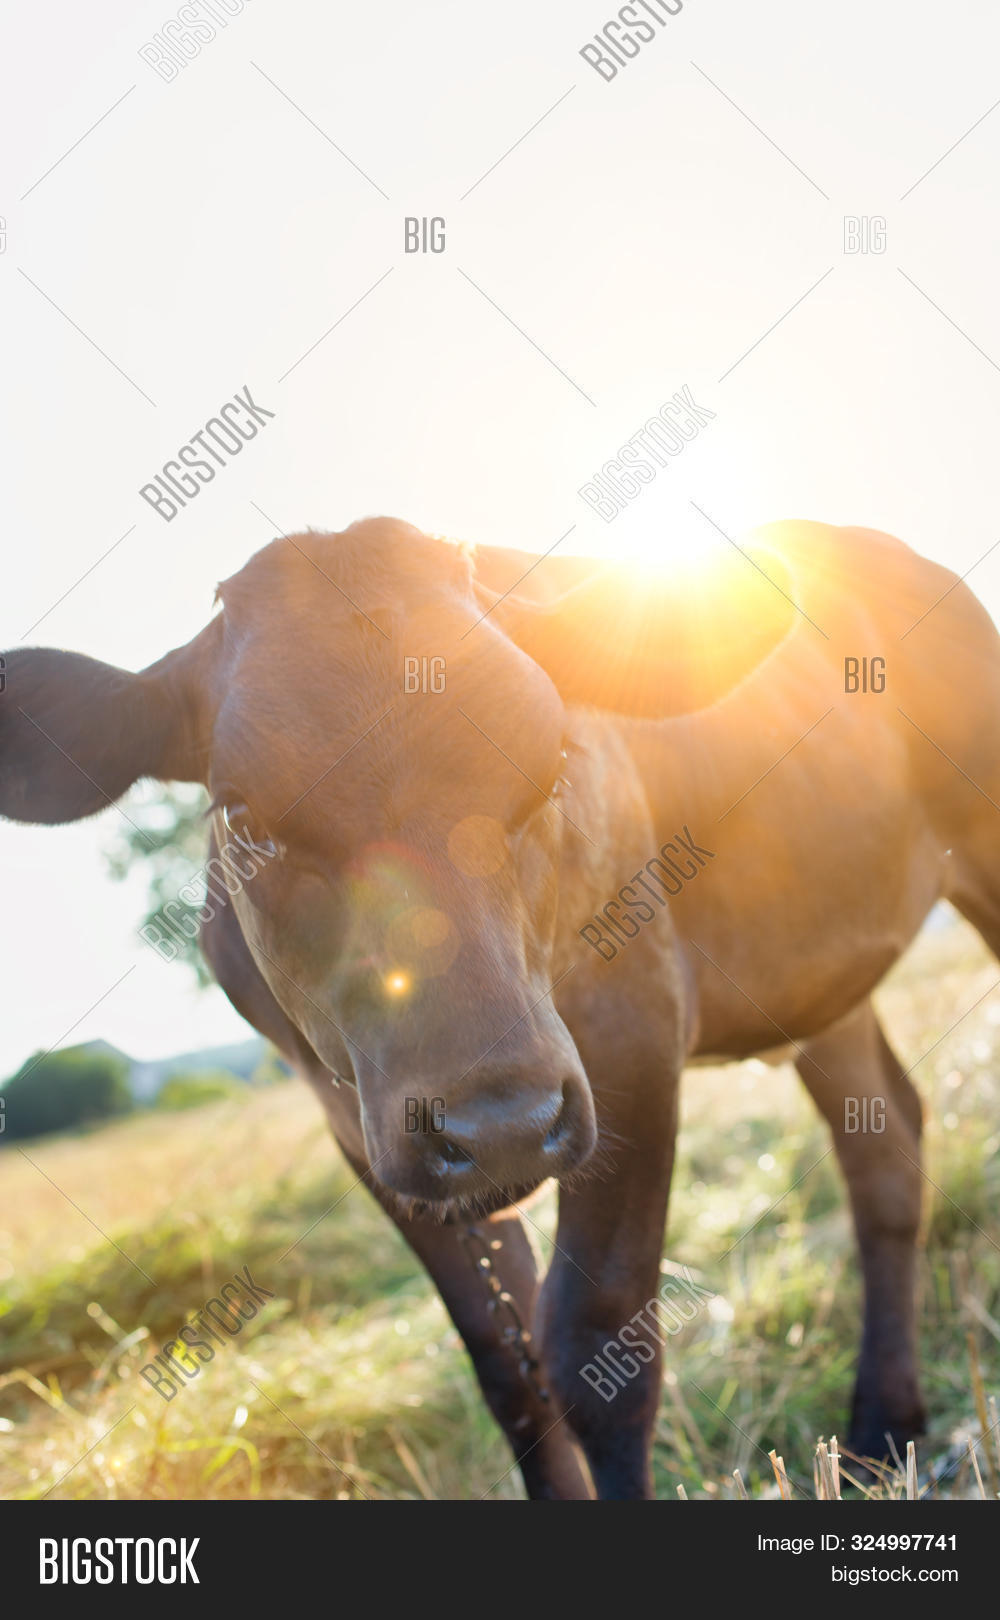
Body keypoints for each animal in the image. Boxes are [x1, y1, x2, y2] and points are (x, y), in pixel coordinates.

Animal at [2, 515, 996, 1499]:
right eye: (244, 822)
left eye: (553, 767)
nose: (499, 1125)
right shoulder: (356, 1119)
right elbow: (505, 1359)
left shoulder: (629, 1035)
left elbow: (596, 1343)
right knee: (884, 1144)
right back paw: (882, 1428)